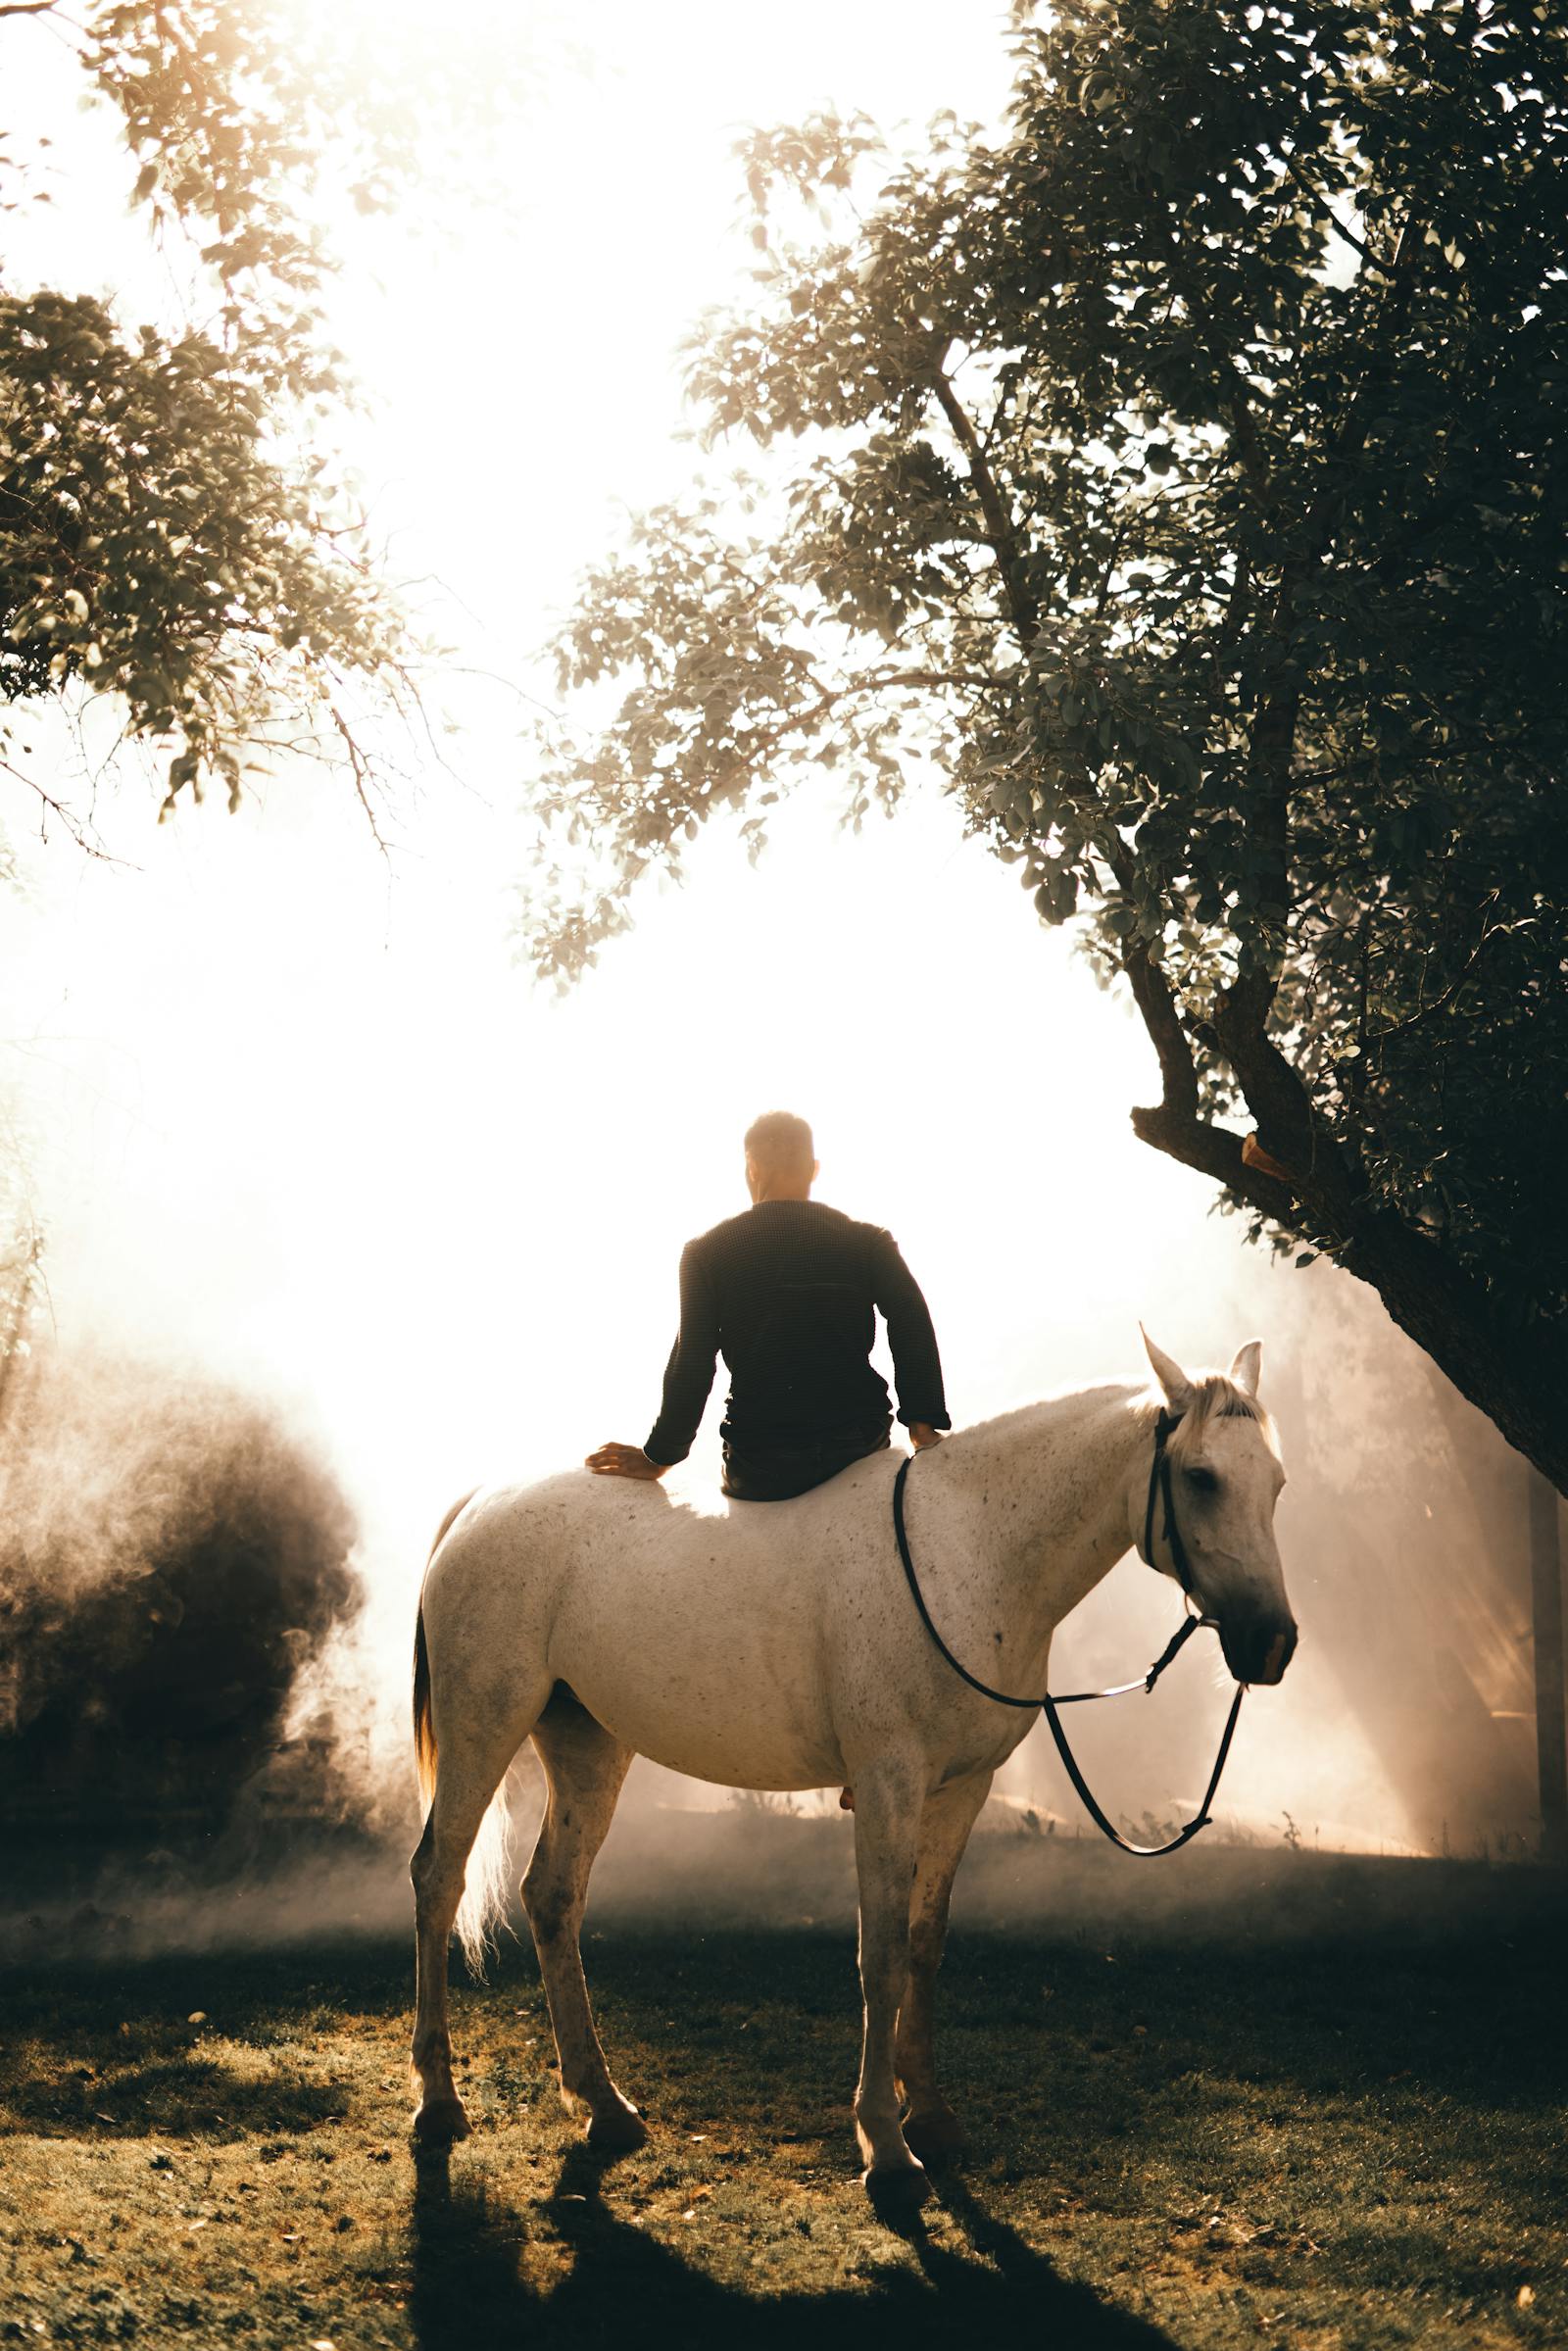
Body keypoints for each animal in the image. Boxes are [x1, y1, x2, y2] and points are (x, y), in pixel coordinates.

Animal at [408, 1330, 1296, 2202]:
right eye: (1201, 1476)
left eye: (1277, 1482)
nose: (1272, 1643)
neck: (967, 1552)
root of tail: (482, 1502)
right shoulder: (888, 1786)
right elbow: (881, 1956)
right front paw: (886, 2143)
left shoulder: (960, 1790)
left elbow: (924, 1944)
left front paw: (930, 2114)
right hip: (484, 1725)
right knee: (439, 1877)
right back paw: (440, 2100)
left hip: (588, 1742)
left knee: (552, 1894)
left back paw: (603, 2102)